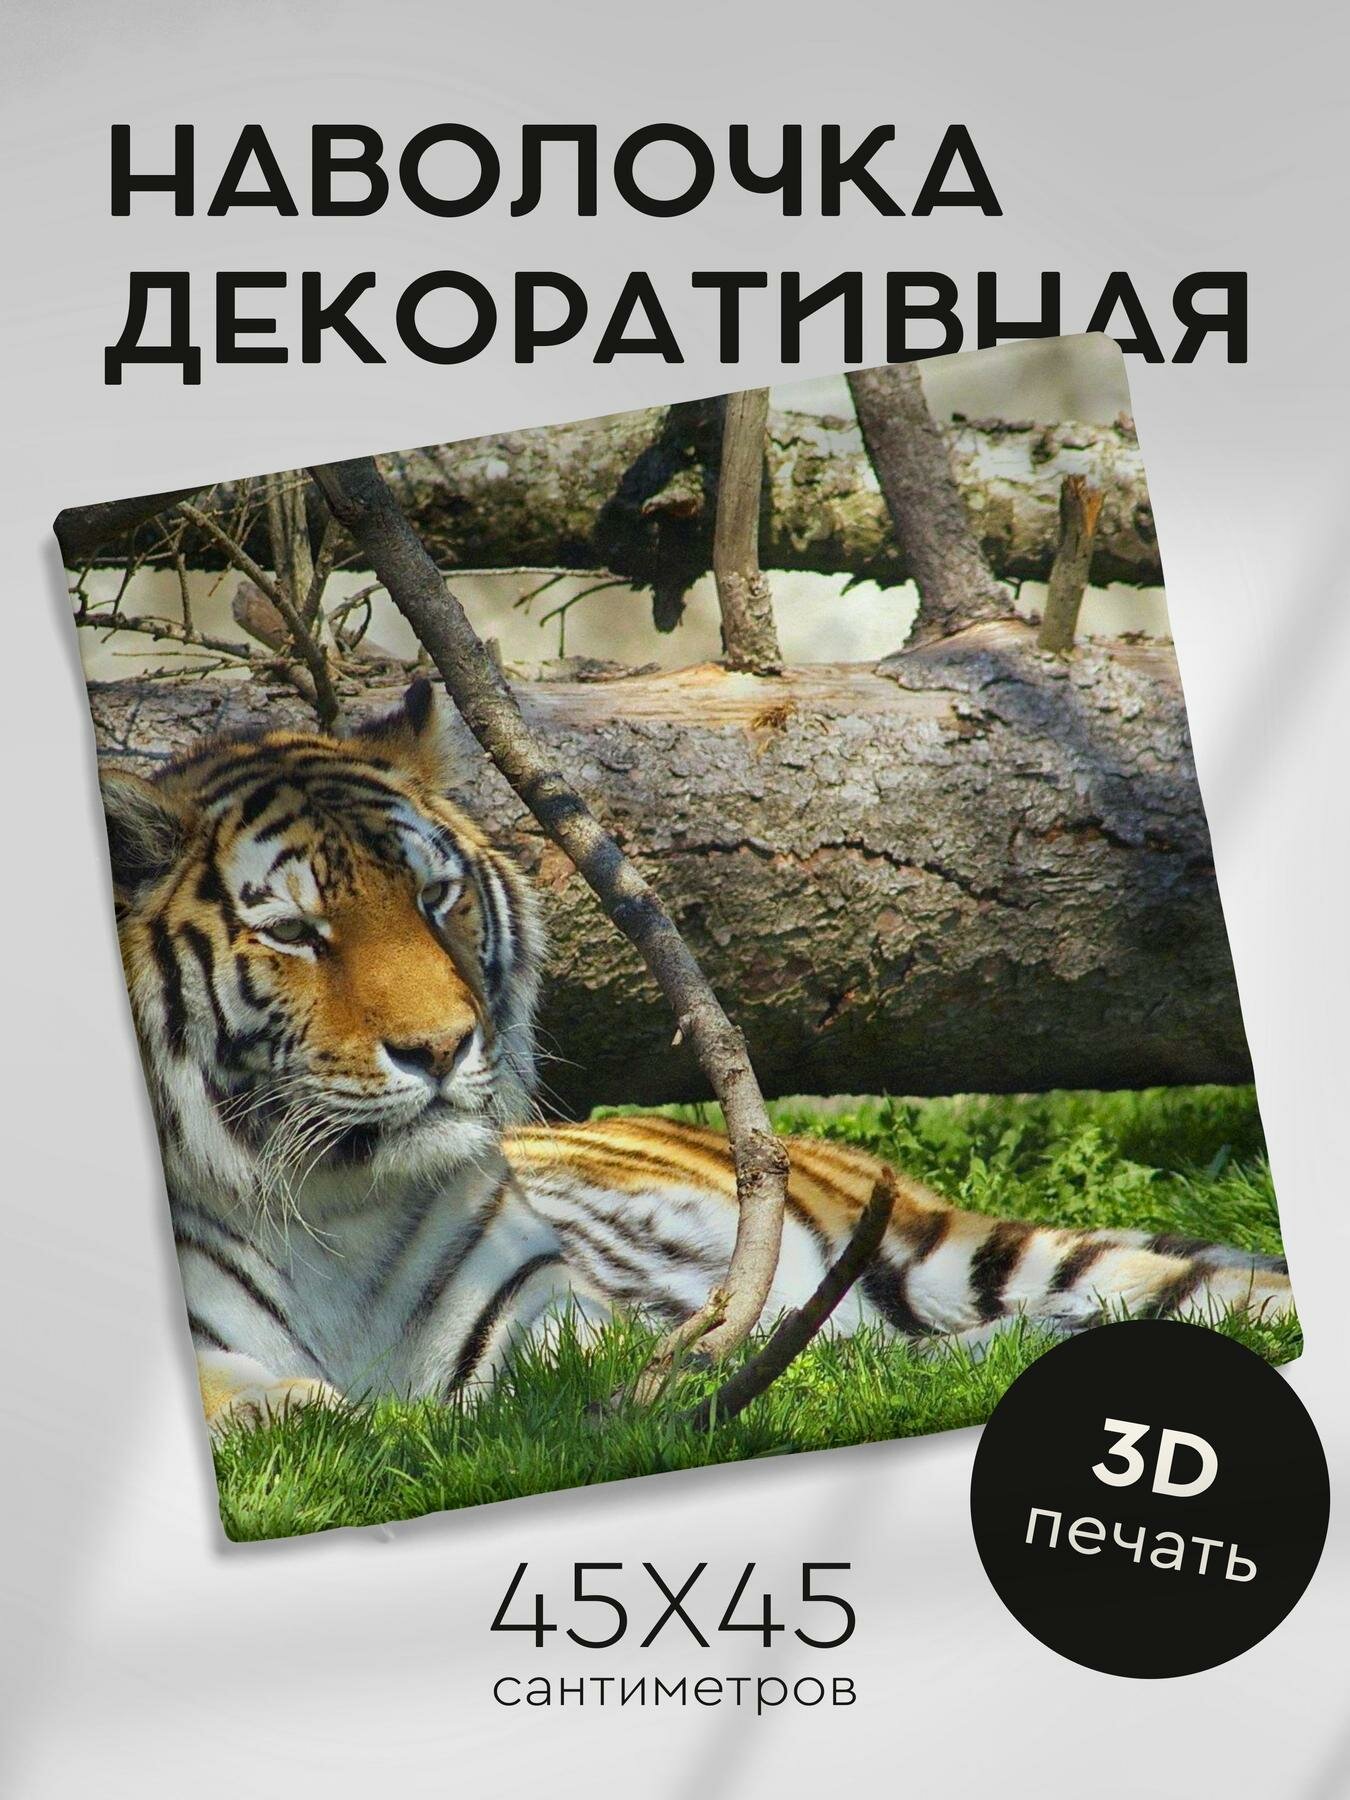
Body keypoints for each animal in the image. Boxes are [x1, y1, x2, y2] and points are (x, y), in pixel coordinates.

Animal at [98, 678, 1293, 1436]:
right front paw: (302, 1412)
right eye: (295, 933)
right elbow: (236, 1394)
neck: (338, 1208)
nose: (440, 1048)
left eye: (435, 898)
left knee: (1190, 1289)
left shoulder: (555, 1334)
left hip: (965, 1252)